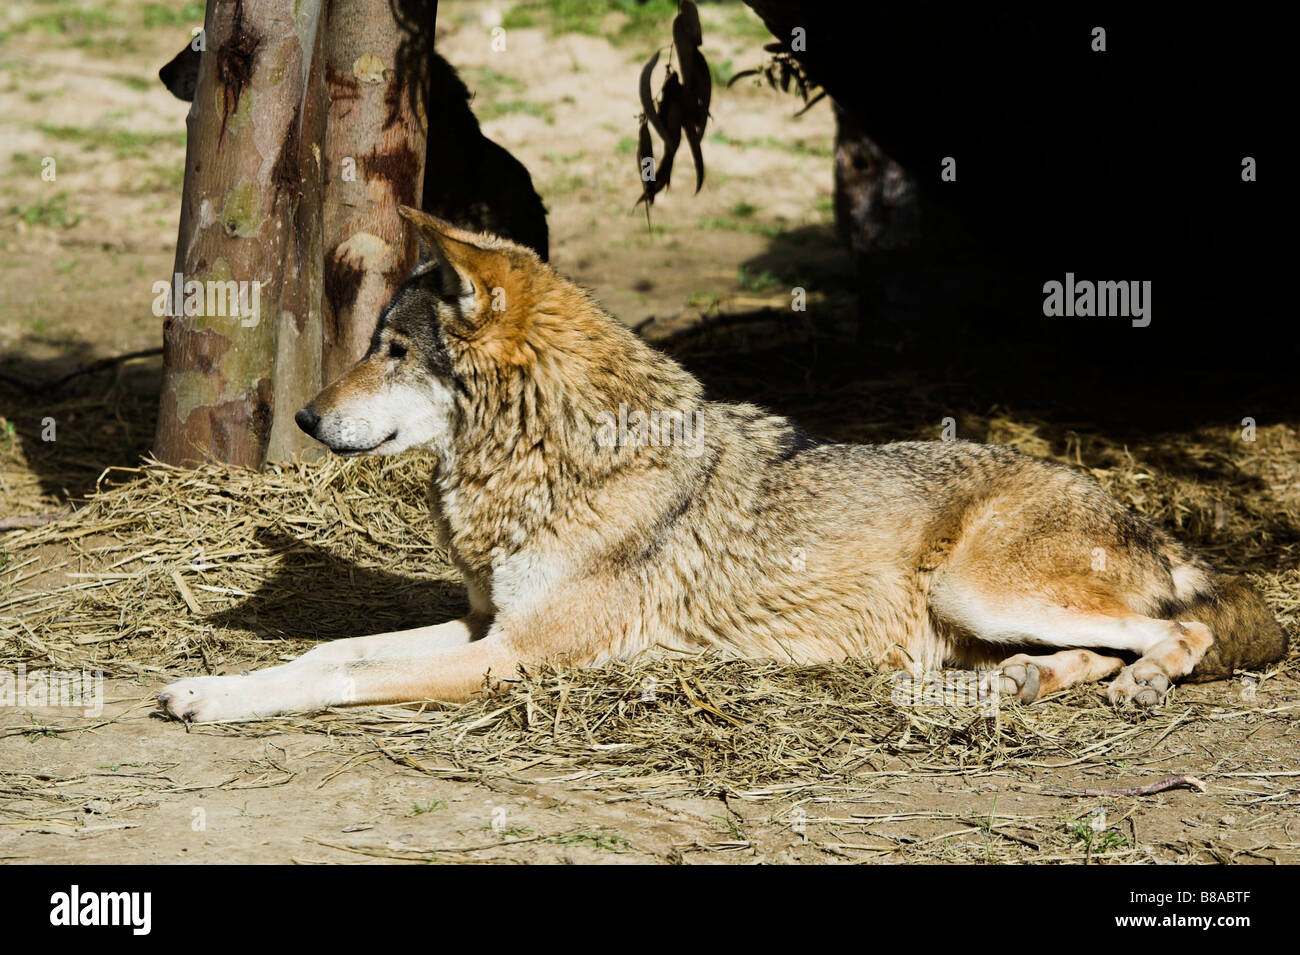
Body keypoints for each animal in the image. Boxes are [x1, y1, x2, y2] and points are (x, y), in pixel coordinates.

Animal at [157, 209, 1288, 722]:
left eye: (392, 350)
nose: (307, 416)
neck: (546, 462)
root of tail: (1146, 515)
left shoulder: (513, 654)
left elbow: (347, 674)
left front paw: (224, 703)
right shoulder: (486, 624)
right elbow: (328, 651)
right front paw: (208, 680)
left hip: (977, 584)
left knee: (1185, 630)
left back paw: (1140, 681)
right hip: (977, 616)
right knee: (1085, 651)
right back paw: (1007, 683)